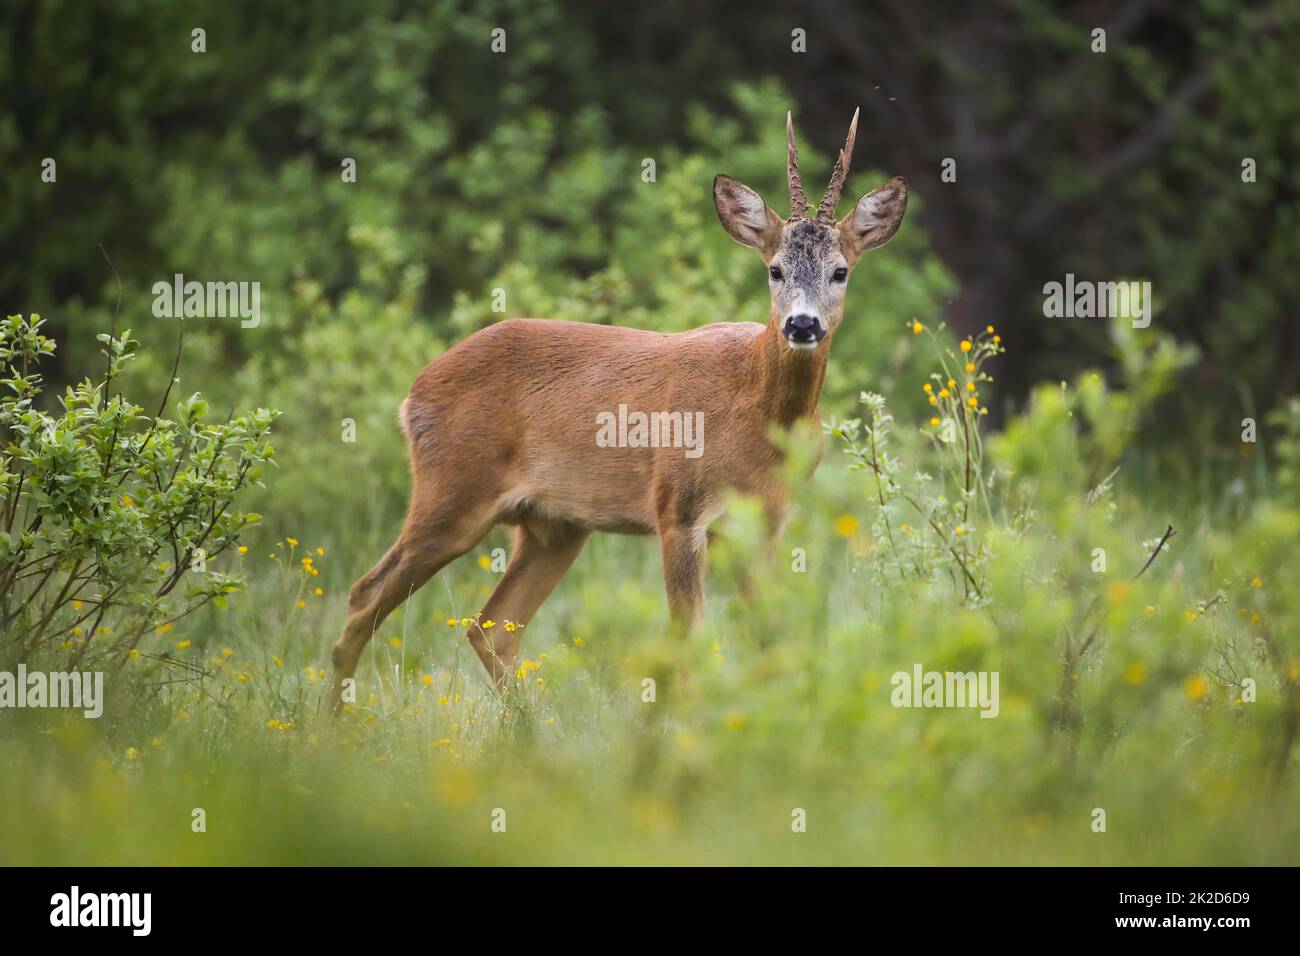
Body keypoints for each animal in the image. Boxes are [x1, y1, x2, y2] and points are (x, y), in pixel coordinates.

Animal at [327, 109, 907, 713]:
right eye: (774, 269)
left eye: (840, 271)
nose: (802, 324)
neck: (755, 411)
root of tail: (414, 391)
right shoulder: (678, 509)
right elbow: (687, 638)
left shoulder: (765, 522)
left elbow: (769, 634)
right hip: (452, 491)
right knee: (366, 593)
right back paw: (329, 724)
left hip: (553, 526)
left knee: (491, 626)